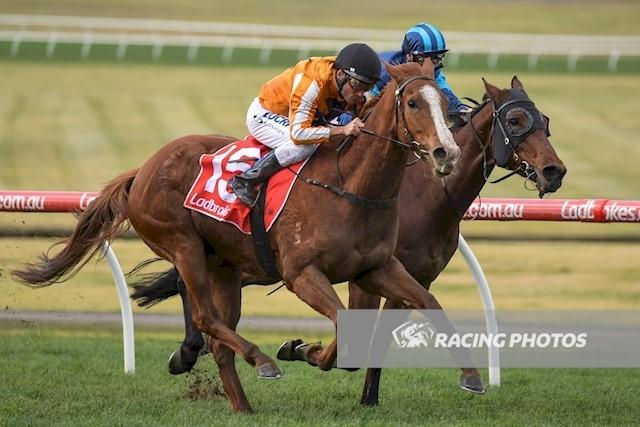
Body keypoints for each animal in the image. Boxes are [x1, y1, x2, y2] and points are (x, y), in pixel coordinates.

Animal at [13, 61, 476, 414]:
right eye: (413, 103)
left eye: (445, 103)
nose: (446, 152)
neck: (351, 185)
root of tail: (142, 170)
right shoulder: (302, 274)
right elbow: (345, 326)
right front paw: (299, 350)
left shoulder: (378, 268)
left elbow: (428, 302)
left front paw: (471, 374)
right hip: (181, 245)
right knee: (205, 318)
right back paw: (262, 360)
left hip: (224, 267)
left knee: (219, 339)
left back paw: (243, 406)